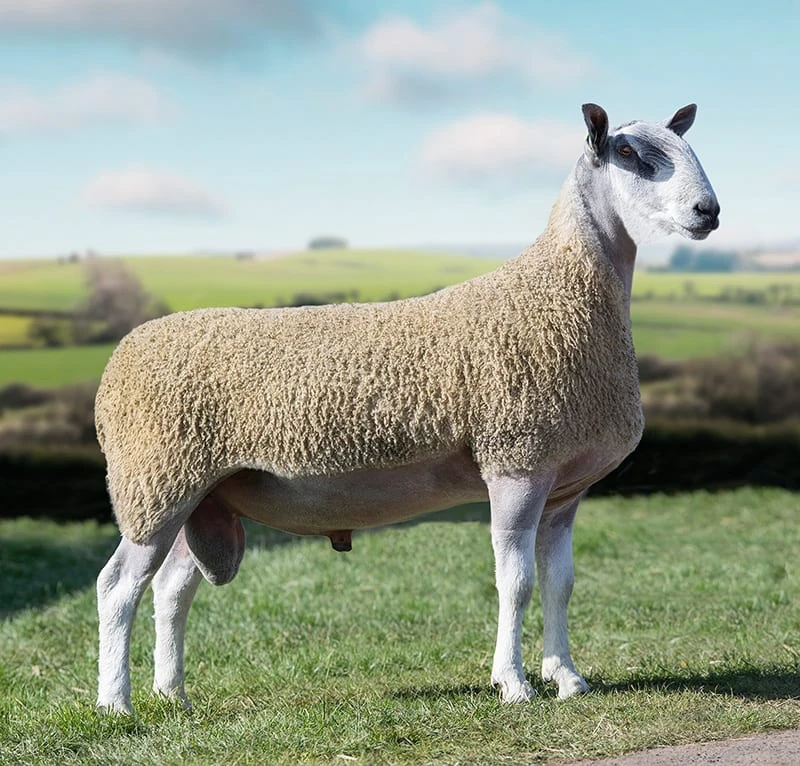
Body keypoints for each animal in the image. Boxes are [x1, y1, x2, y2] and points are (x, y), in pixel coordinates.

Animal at [95, 102, 719, 713]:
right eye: (628, 152)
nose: (708, 210)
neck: (563, 293)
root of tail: (120, 360)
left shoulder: (564, 486)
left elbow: (558, 583)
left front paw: (566, 677)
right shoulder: (515, 464)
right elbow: (515, 583)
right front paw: (513, 684)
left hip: (199, 494)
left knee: (171, 589)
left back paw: (172, 694)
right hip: (155, 483)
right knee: (117, 586)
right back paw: (116, 704)